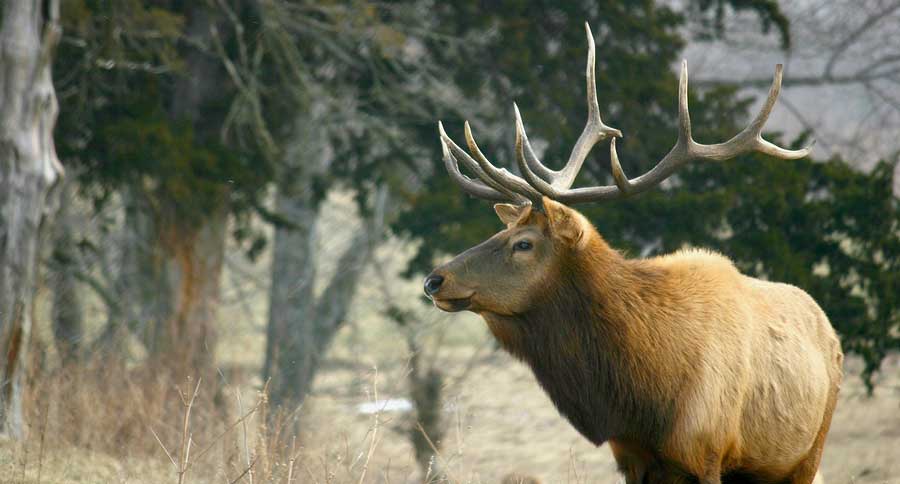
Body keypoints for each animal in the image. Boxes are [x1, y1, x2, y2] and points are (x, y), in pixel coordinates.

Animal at [424, 23, 843, 484]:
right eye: (504, 230)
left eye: (524, 243)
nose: (435, 279)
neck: (644, 397)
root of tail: (828, 326)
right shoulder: (631, 457)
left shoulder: (709, 449)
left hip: (810, 450)